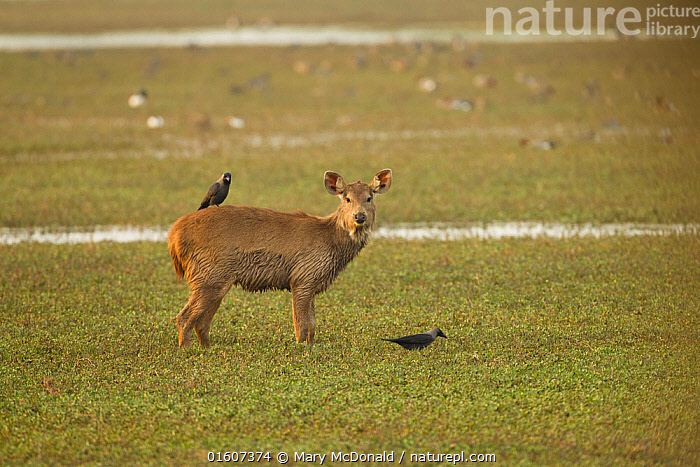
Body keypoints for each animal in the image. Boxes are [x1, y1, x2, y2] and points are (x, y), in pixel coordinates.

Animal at [167, 169, 392, 347]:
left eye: (369, 198)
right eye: (347, 198)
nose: (359, 216)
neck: (331, 242)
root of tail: (173, 236)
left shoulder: (311, 281)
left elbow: (312, 325)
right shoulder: (303, 276)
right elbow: (302, 326)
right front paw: (301, 347)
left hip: (215, 278)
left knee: (202, 322)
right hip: (208, 273)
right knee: (184, 317)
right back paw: (186, 349)